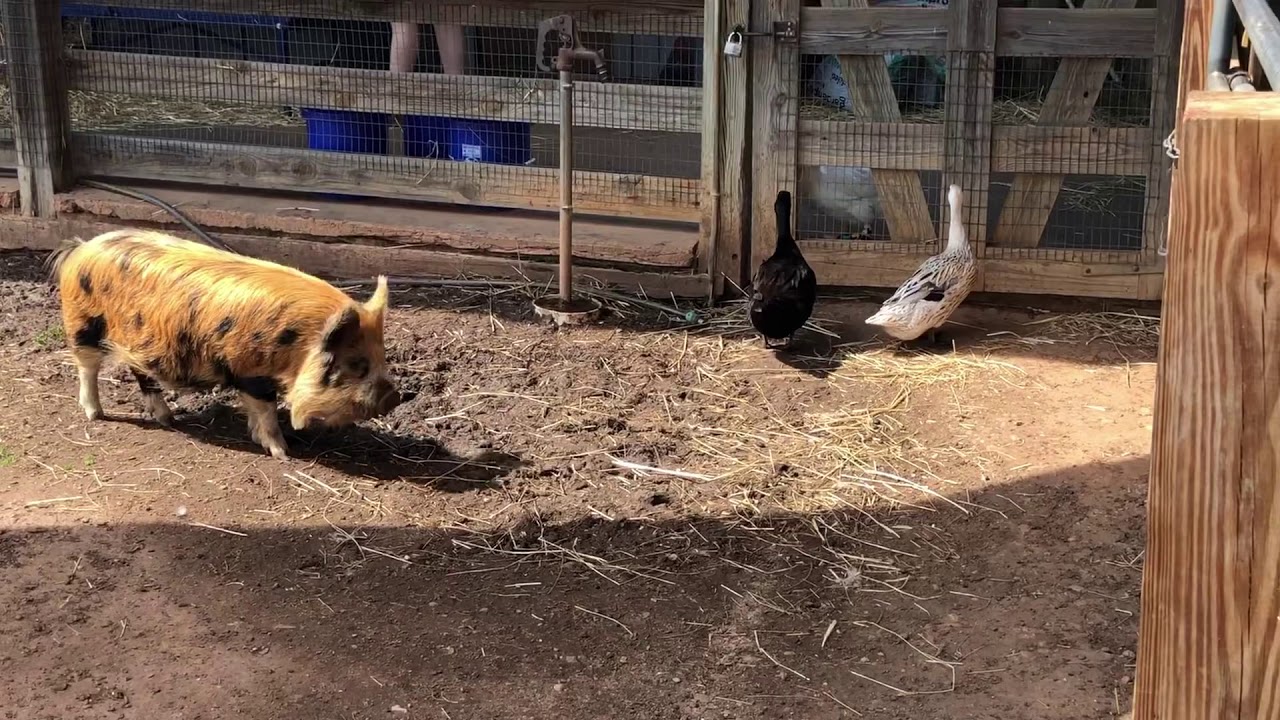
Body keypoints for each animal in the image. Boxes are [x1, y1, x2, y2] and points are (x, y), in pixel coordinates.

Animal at [49, 229, 403, 459]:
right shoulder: (252, 372)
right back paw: (95, 415)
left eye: (382, 357)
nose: (395, 396)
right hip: (82, 324)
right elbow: (266, 409)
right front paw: (282, 452)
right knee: (87, 368)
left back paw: (168, 420)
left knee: (143, 375)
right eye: (356, 365)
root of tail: (80, 249)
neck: (298, 344)